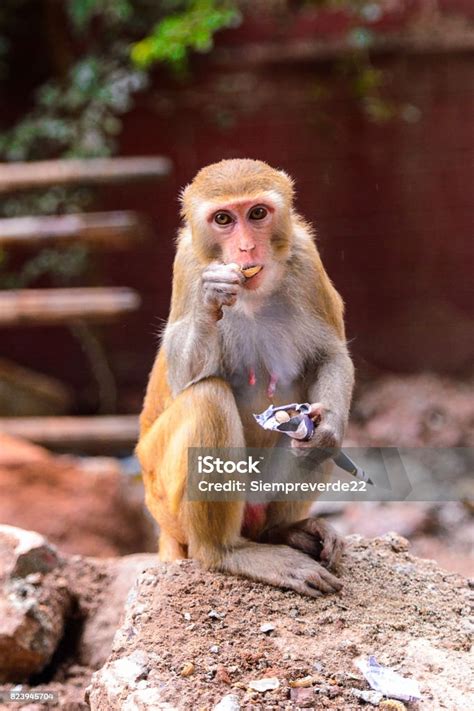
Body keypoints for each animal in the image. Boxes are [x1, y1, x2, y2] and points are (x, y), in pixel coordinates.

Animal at [136, 159, 354, 597]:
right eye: (223, 219)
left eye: (256, 214)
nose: (246, 250)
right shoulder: (188, 264)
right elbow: (183, 377)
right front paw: (211, 299)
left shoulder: (306, 257)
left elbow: (330, 357)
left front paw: (326, 431)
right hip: (164, 498)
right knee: (208, 398)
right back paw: (225, 552)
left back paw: (285, 532)